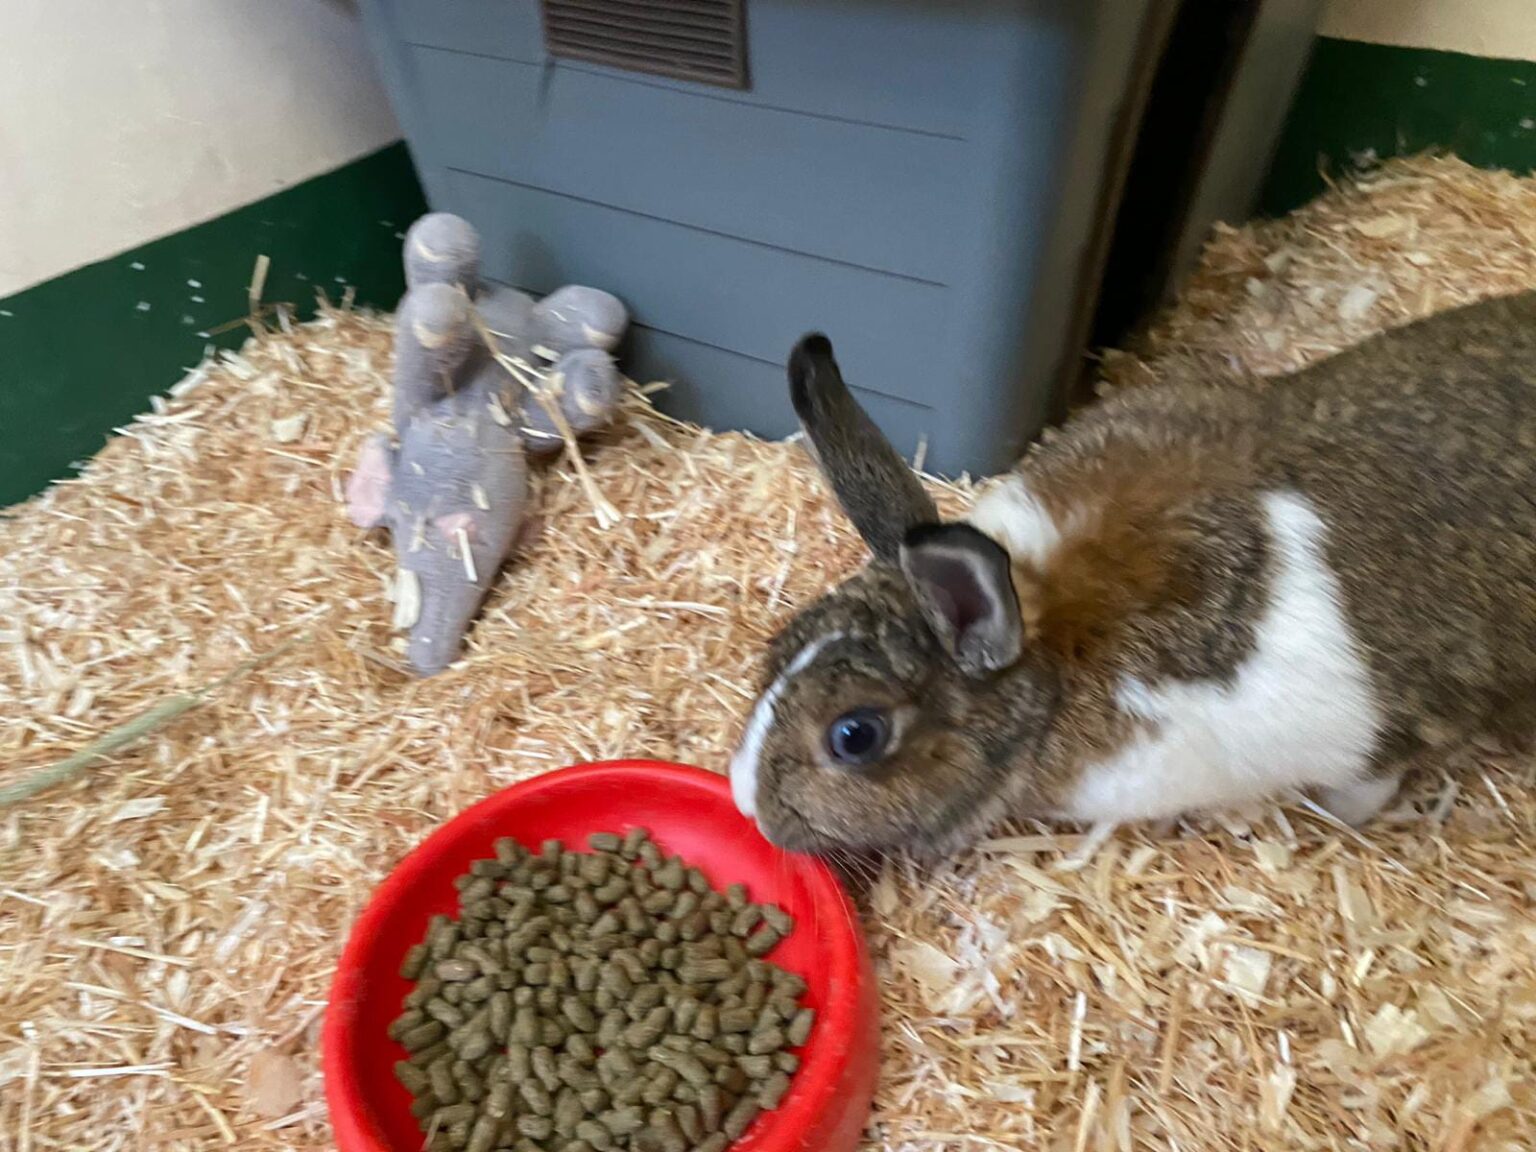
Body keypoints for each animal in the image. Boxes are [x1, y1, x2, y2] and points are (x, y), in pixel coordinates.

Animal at [728, 289, 1536, 859]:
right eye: (779, 644)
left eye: (855, 735)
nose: (745, 805)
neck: (1052, 658)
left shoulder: (1371, 741)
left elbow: (1369, 780)